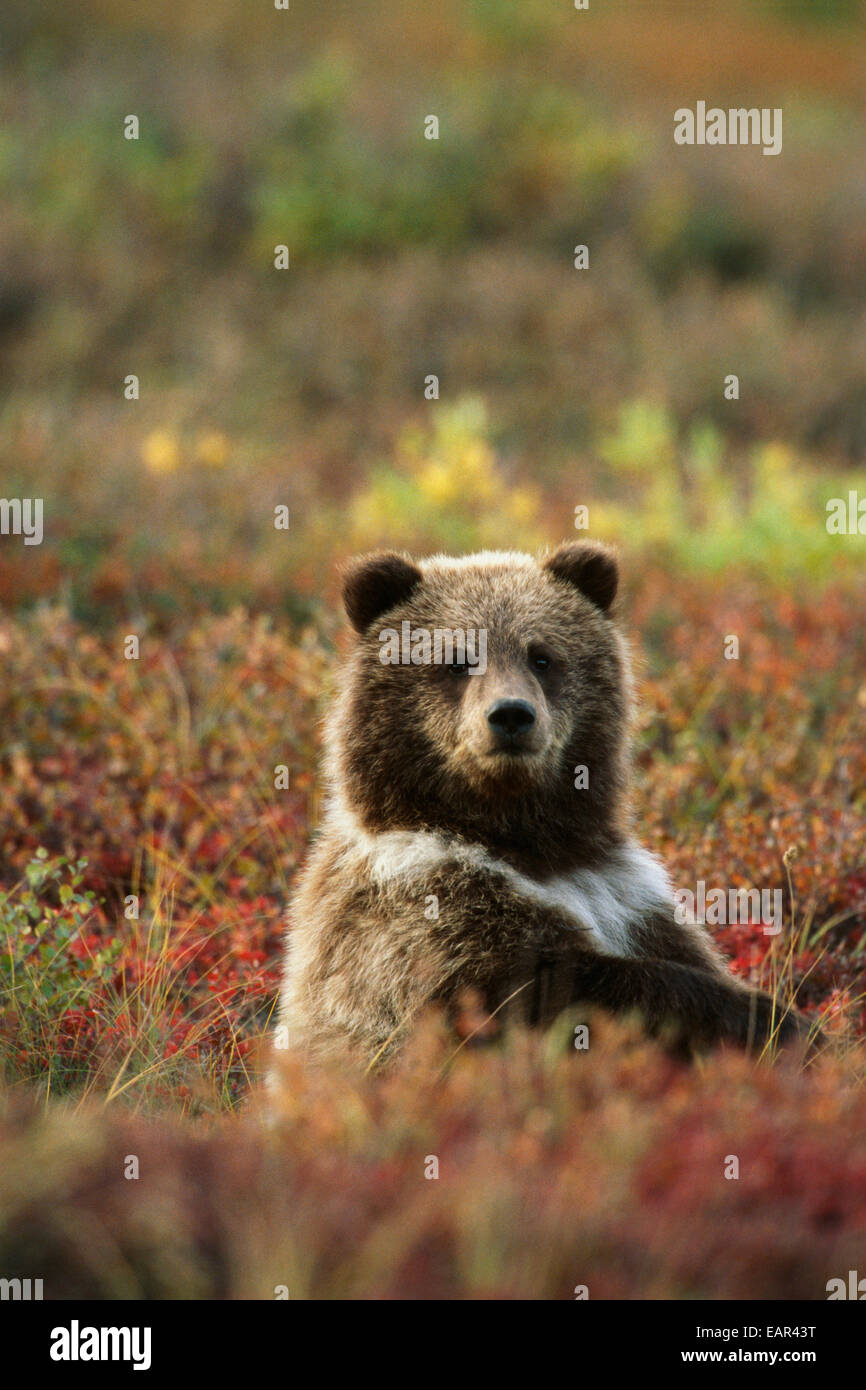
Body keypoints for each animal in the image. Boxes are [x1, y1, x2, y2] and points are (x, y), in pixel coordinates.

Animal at [274, 542, 810, 1067]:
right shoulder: (416, 914)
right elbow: (541, 989)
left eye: (542, 657)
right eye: (456, 660)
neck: (526, 841)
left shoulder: (627, 897)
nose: (511, 715)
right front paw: (772, 1022)